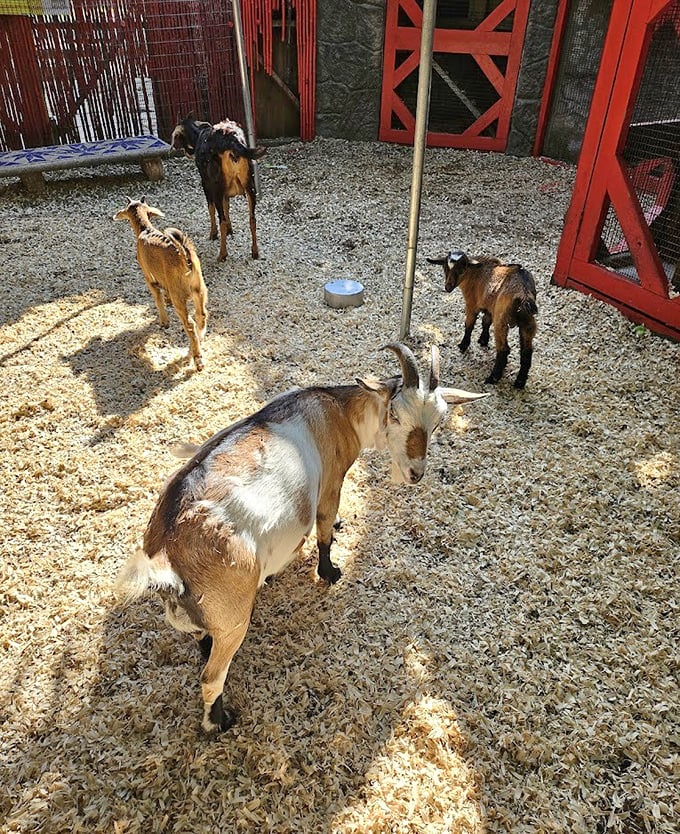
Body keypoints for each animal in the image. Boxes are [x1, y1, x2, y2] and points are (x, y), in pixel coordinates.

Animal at [114, 197, 208, 371]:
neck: (145, 230)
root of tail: (185, 258)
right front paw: (167, 302)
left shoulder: (149, 277)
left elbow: (157, 298)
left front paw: (164, 322)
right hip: (199, 290)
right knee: (201, 316)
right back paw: (197, 344)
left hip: (180, 297)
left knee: (189, 323)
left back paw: (197, 360)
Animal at [115, 343, 487, 733]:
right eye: (395, 415)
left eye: (439, 421)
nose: (416, 473)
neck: (336, 408)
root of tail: (165, 557)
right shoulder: (332, 482)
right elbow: (323, 528)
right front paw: (330, 571)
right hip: (233, 618)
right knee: (211, 677)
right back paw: (219, 721)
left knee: (203, 641)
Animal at [171, 116, 266, 261]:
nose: (185, 152)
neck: (199, 134)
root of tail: (231, 140)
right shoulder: (225, 192)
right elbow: (227, 206)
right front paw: (230, 230)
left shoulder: (207, 184)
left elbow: (211, 208)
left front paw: (213, 233)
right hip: (249, 186)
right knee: (252, 219)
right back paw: (255, 252)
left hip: (217, 188)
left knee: (222, 220)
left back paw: (222, 254)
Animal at [427, 251, 538, 389]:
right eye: (445, 268)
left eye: (461, 269)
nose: (448, 287)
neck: (474, 273)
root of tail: (524, 296)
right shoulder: (490, 306)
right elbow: (485, 321)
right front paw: (483, 340)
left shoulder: (471, 304)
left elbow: (469, 324)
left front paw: (463, 345)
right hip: (528, 322)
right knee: (526, 352)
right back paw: (519, 382)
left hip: (501, 320)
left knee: (504, 349)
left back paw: (493, 378)